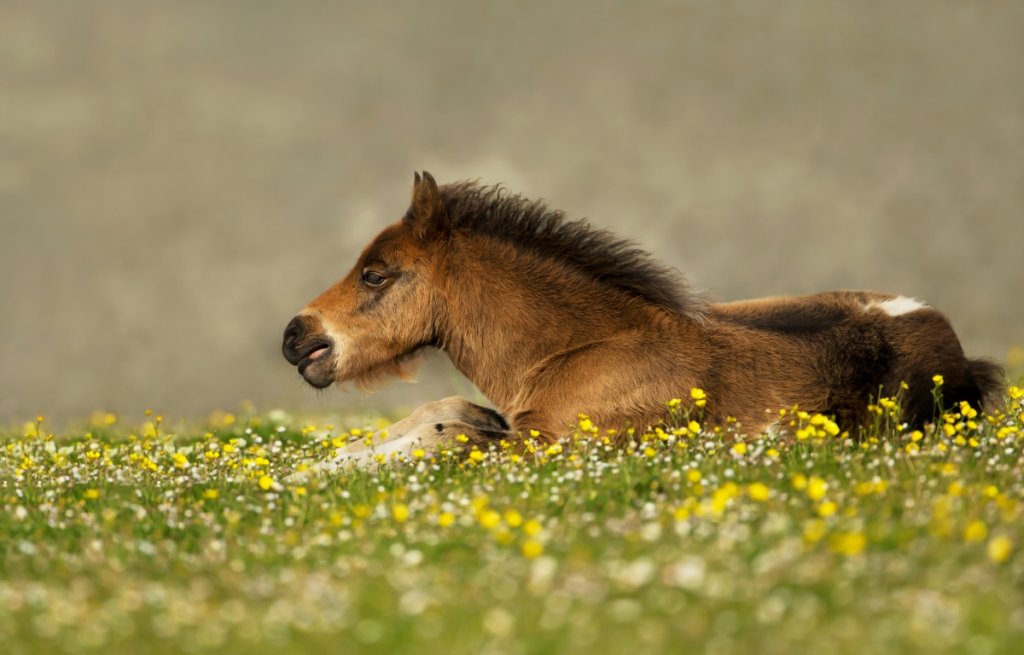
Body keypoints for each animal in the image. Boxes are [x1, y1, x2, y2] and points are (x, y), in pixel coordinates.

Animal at [282, 171, 1003, 461]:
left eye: (376, 274)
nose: (297, 336)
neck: (577, 350)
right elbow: (448, 414)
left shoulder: (553, 445)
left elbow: (451, 436)